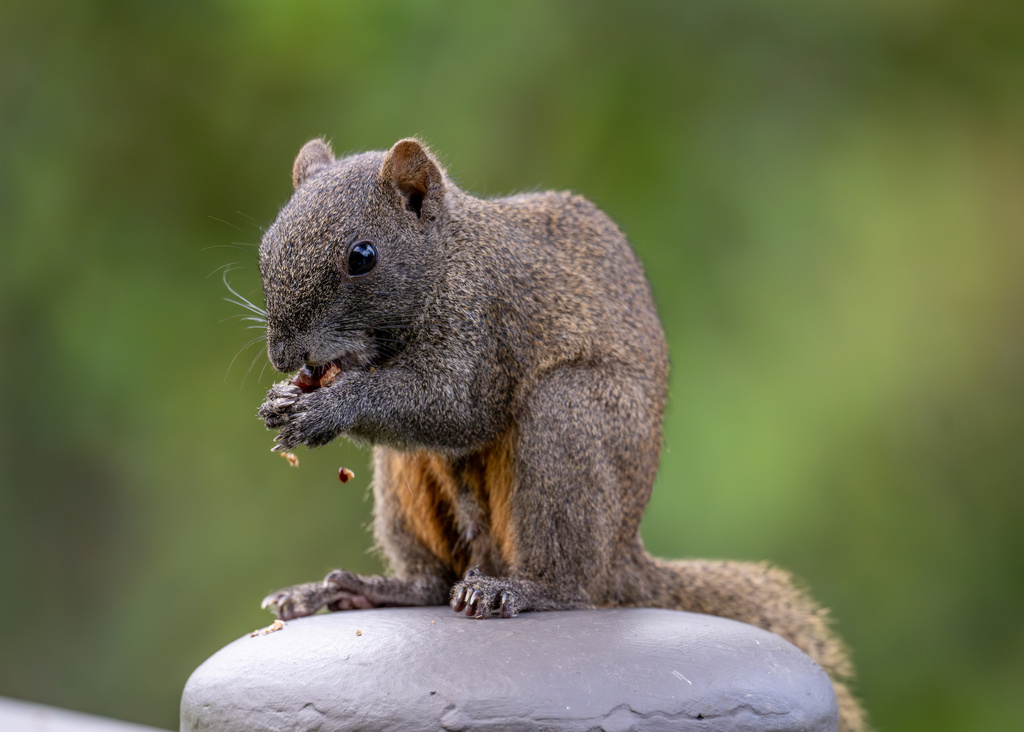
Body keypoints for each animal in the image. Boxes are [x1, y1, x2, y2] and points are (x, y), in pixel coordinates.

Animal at [255, 137, 865, 731]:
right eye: (265, 248)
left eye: (363, 257)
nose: (284, 355)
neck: (450, 258)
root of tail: (621, 550)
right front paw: (284, 399)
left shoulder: (486, 321)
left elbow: (456, 408)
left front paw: (323, 410)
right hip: (407, 485)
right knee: (430, 580)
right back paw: (356, 588)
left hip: (567, 417)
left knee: (574, 586)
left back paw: (519, 589)